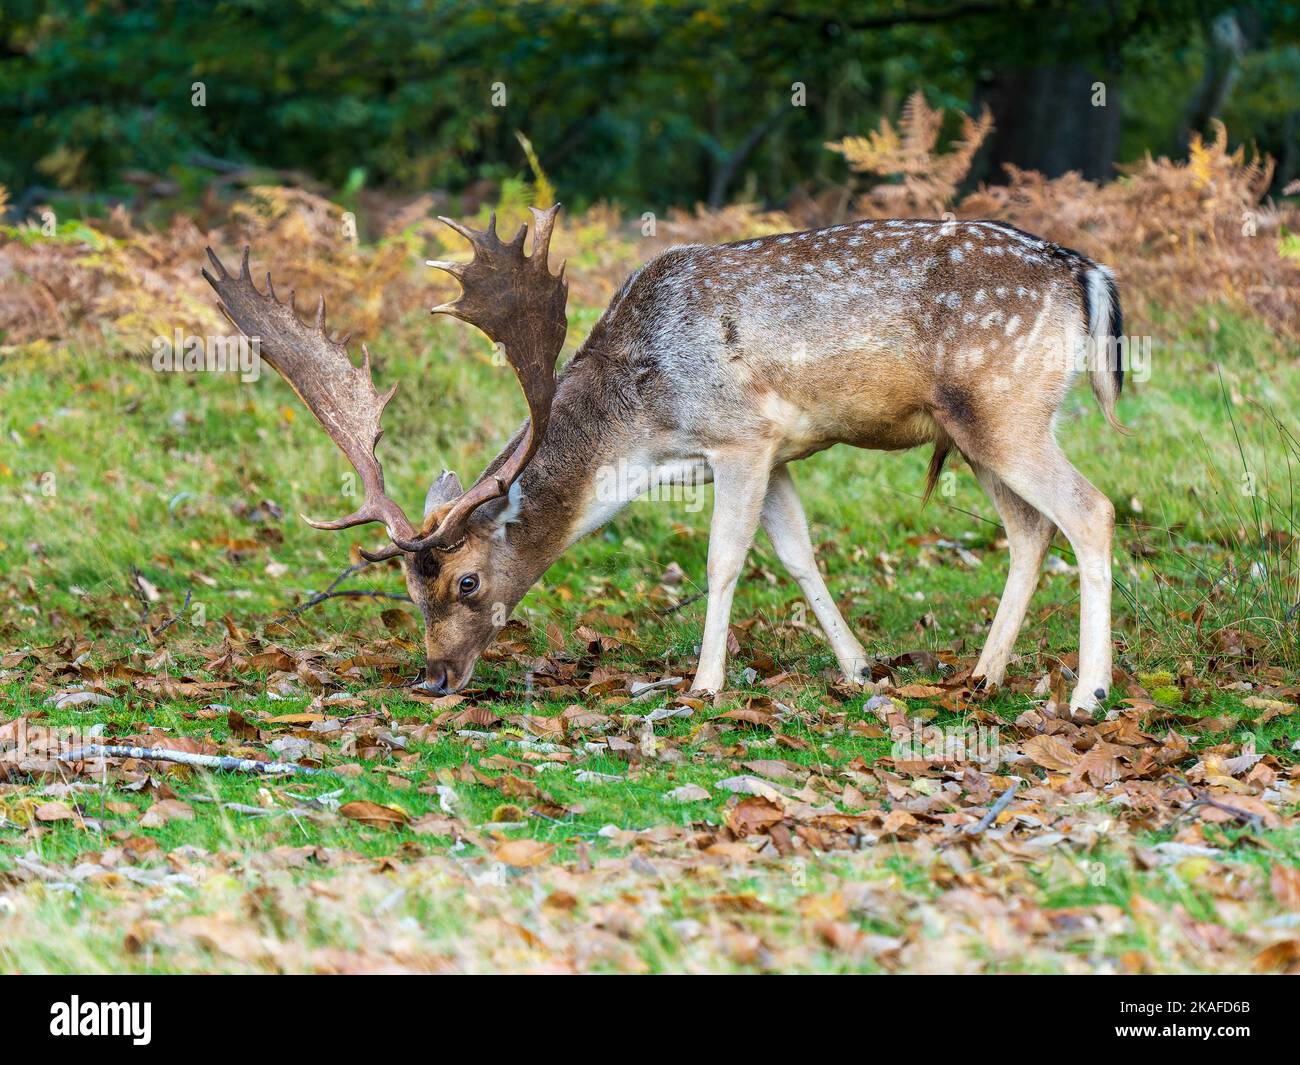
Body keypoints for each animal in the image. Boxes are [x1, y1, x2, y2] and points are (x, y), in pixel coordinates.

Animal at [203, 204, 1125, 715]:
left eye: (466, 580)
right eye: (408, 586)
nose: (433, 677)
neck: (644, 433)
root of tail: (1085, 273)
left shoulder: (741, 435)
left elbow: (725, 559)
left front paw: (705, 684)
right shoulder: (780, 452)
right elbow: (799, 554)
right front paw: (861, 667)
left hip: (1005, 408)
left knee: (1091, 509)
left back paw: (1088, 694)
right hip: (972, 430)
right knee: (1031, 532)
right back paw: (983, 675)